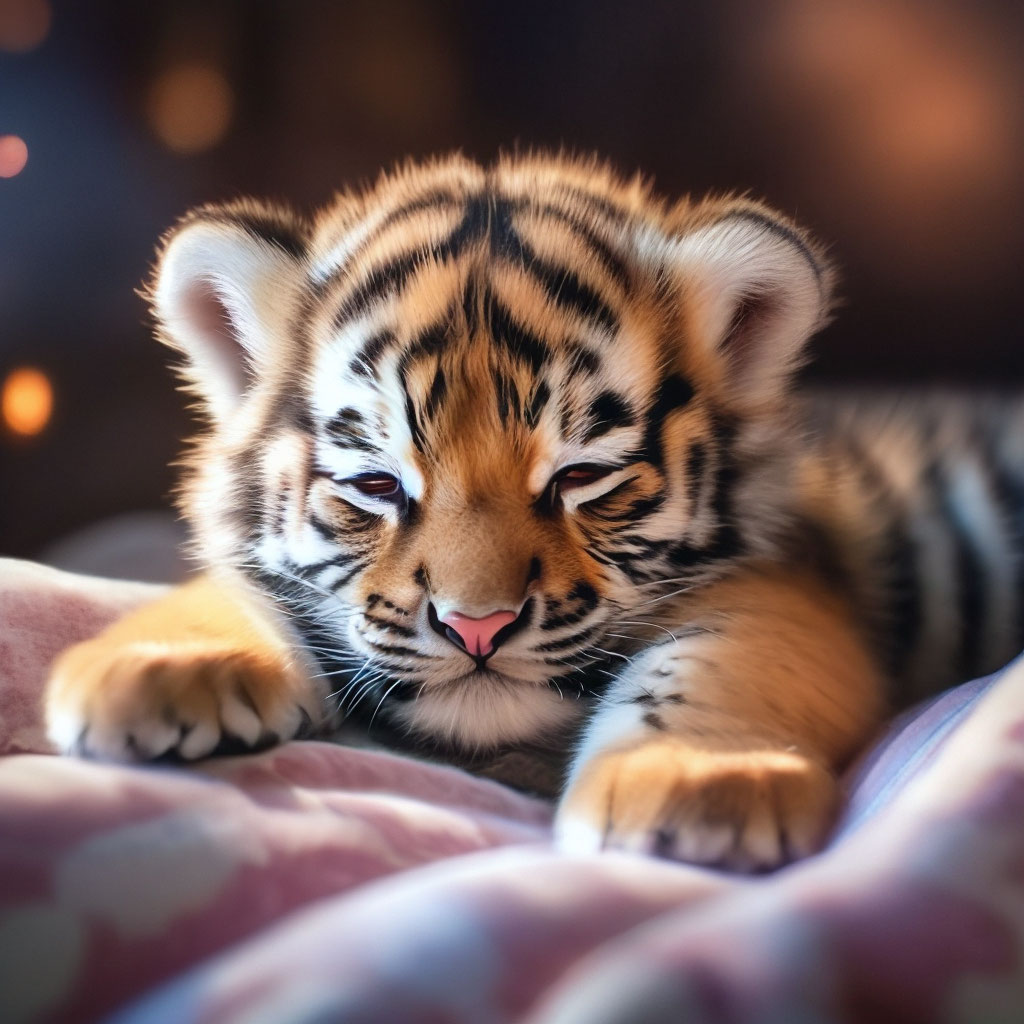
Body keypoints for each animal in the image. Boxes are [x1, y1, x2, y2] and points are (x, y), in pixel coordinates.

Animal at [43, 152, 1024, 871]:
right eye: (378, 486)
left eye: (581, 476)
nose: (477, 627)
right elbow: (243, 583)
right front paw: (161, 668)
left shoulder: (791, 592)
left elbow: (717, 663)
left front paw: (690, 782)